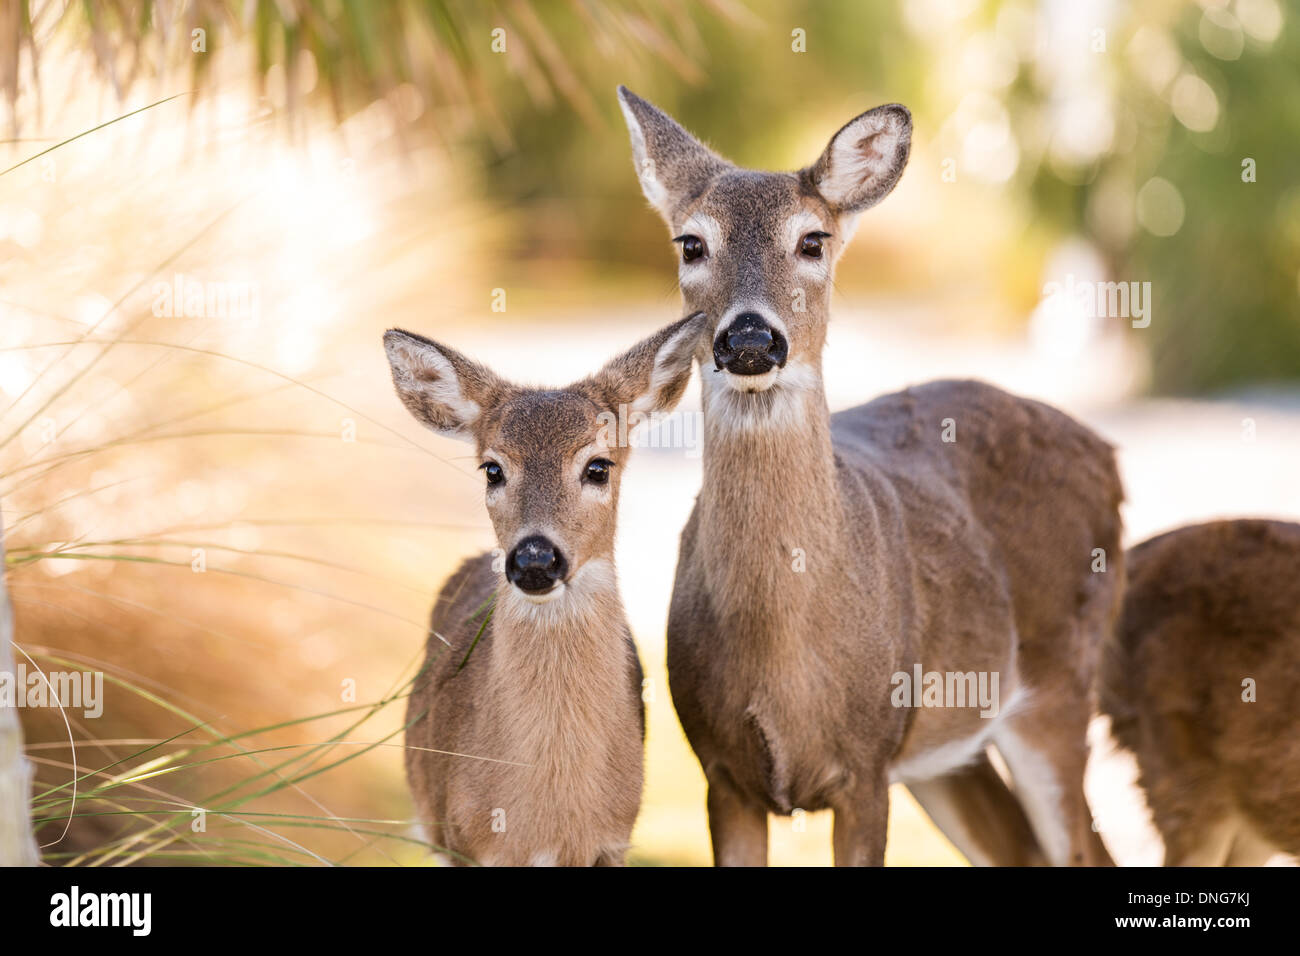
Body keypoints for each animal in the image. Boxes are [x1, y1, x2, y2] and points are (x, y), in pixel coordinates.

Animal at [383, 311, 707, 866]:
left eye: (598, 466)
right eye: (492, 469)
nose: (535, 557)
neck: (551, 818)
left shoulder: (612, 840)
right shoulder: (466, 841)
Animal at [617, 86, 1121, 866]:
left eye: (812, 240)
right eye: (691, 243)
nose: (751, 338)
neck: (783, 653)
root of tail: (1108, 455)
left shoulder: (867, 764)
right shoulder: (722, 772)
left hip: (1059, 689)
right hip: (949, 752)